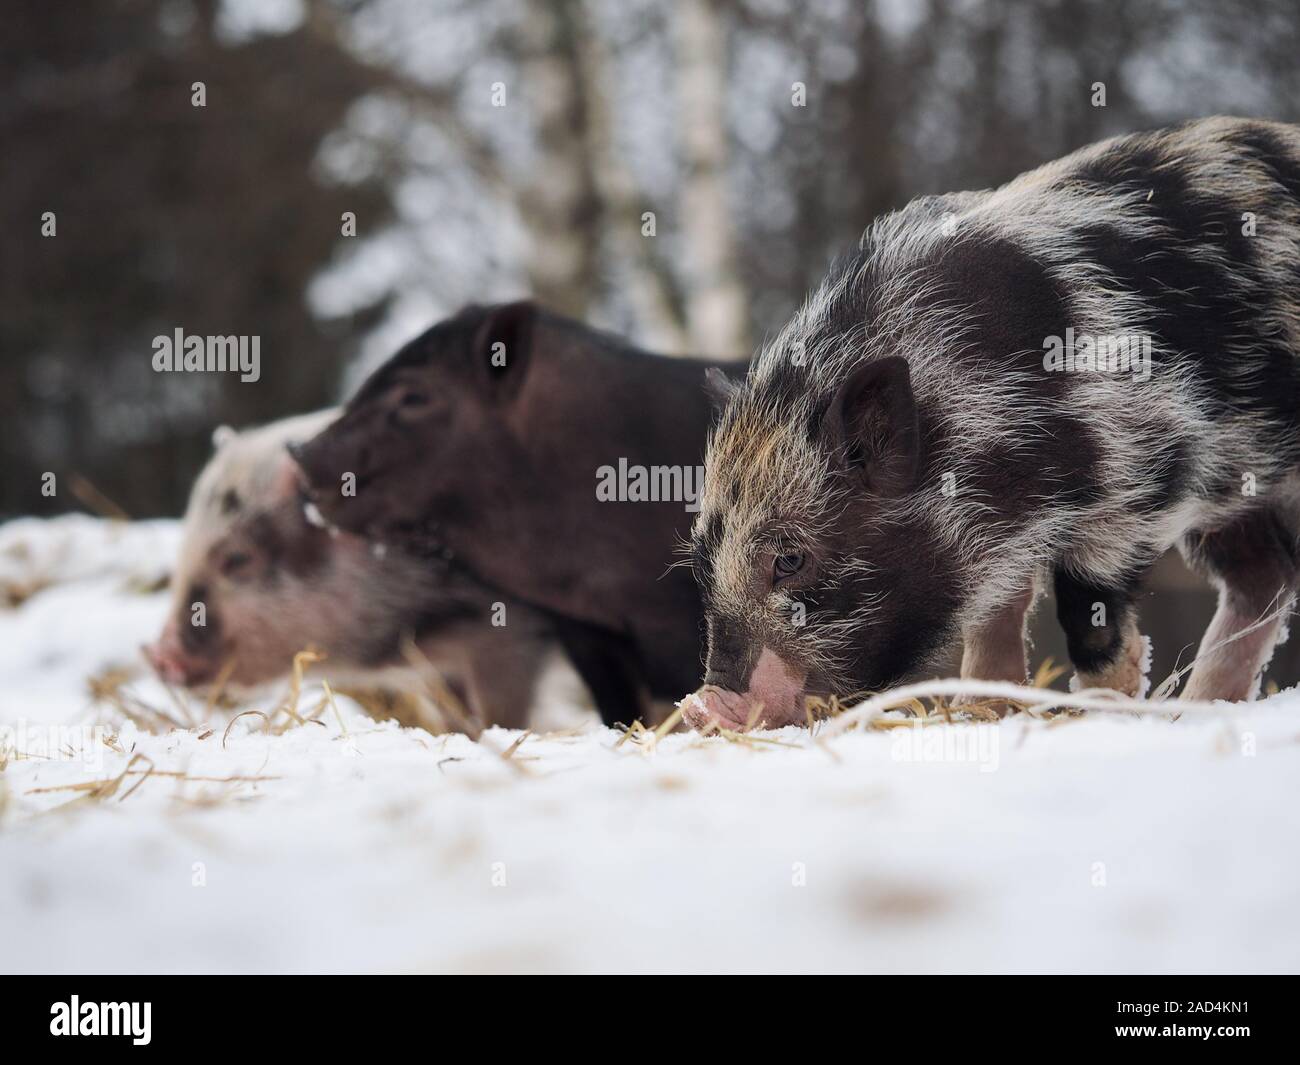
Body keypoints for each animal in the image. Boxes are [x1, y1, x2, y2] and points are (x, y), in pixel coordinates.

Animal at [145, 409, 592, 730]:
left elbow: (504, 713)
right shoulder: (439, 668)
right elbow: (455, 716)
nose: (160, 656)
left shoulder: (514, 634)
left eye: (237, 559)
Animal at [685, 117, 1300, 729]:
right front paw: (979, 710)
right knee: (1265, 578)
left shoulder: (1145, 469)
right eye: (703, 562)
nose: (705, 703)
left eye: (789, 559)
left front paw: (1098, 718)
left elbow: (1090, 622)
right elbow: (994, 613)